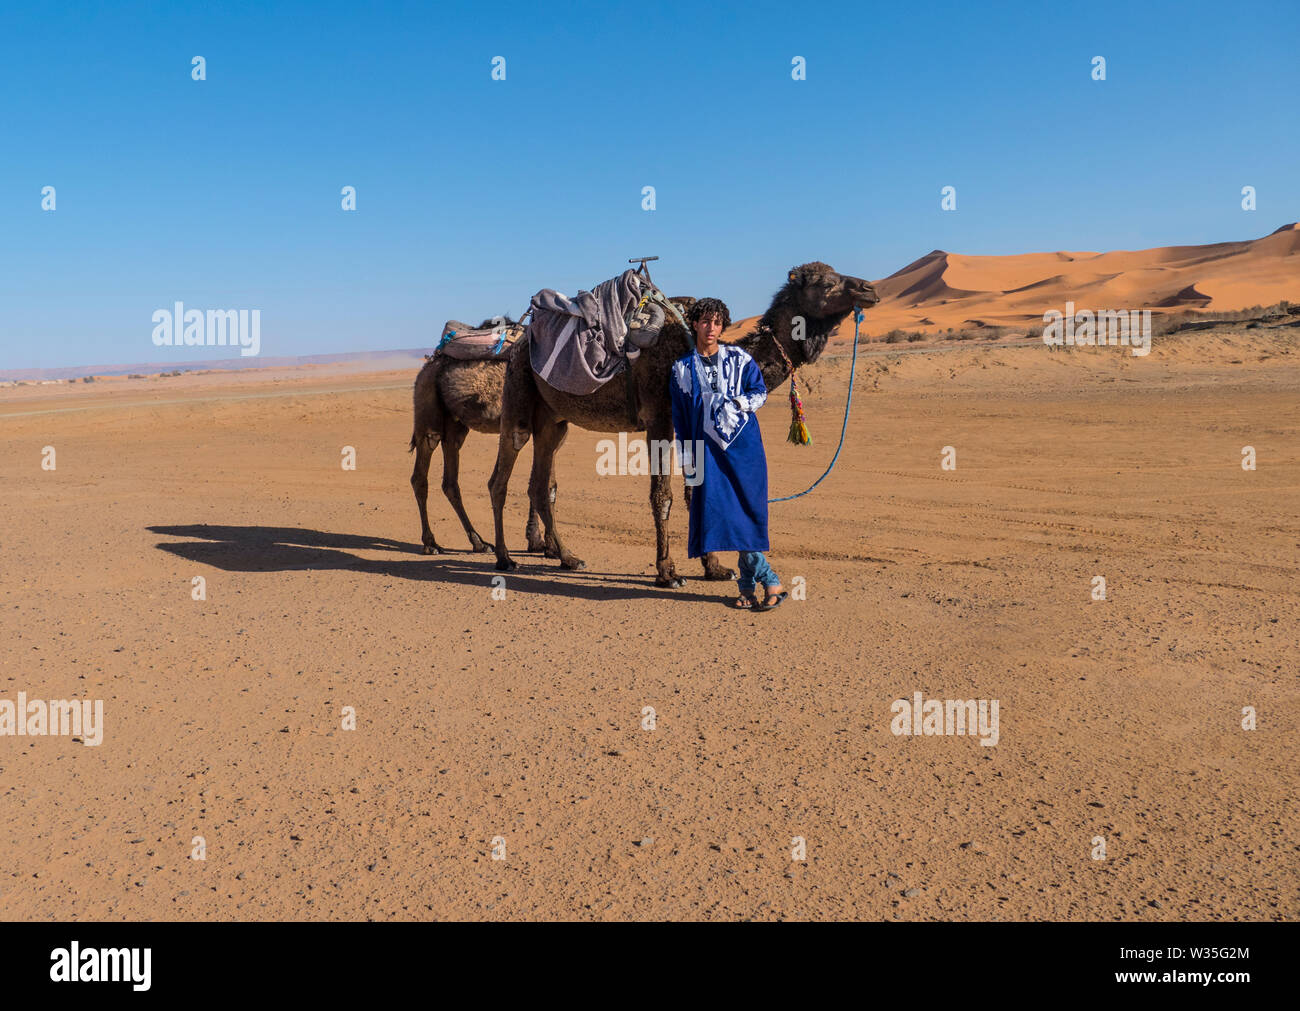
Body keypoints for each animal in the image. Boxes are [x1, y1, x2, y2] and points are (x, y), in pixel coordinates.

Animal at [487, 262, 880, 586]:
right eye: (826, 283)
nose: (869, 289)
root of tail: (521, 340)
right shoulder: (660, 418)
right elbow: (663, 495)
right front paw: (667, 572)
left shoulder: (694, 427)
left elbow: (697, 491)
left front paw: (715, 566)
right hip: (519, 395)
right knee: (501, 477)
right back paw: (504, 558)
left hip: (555, 420)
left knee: (541, 485)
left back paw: (568, 557)